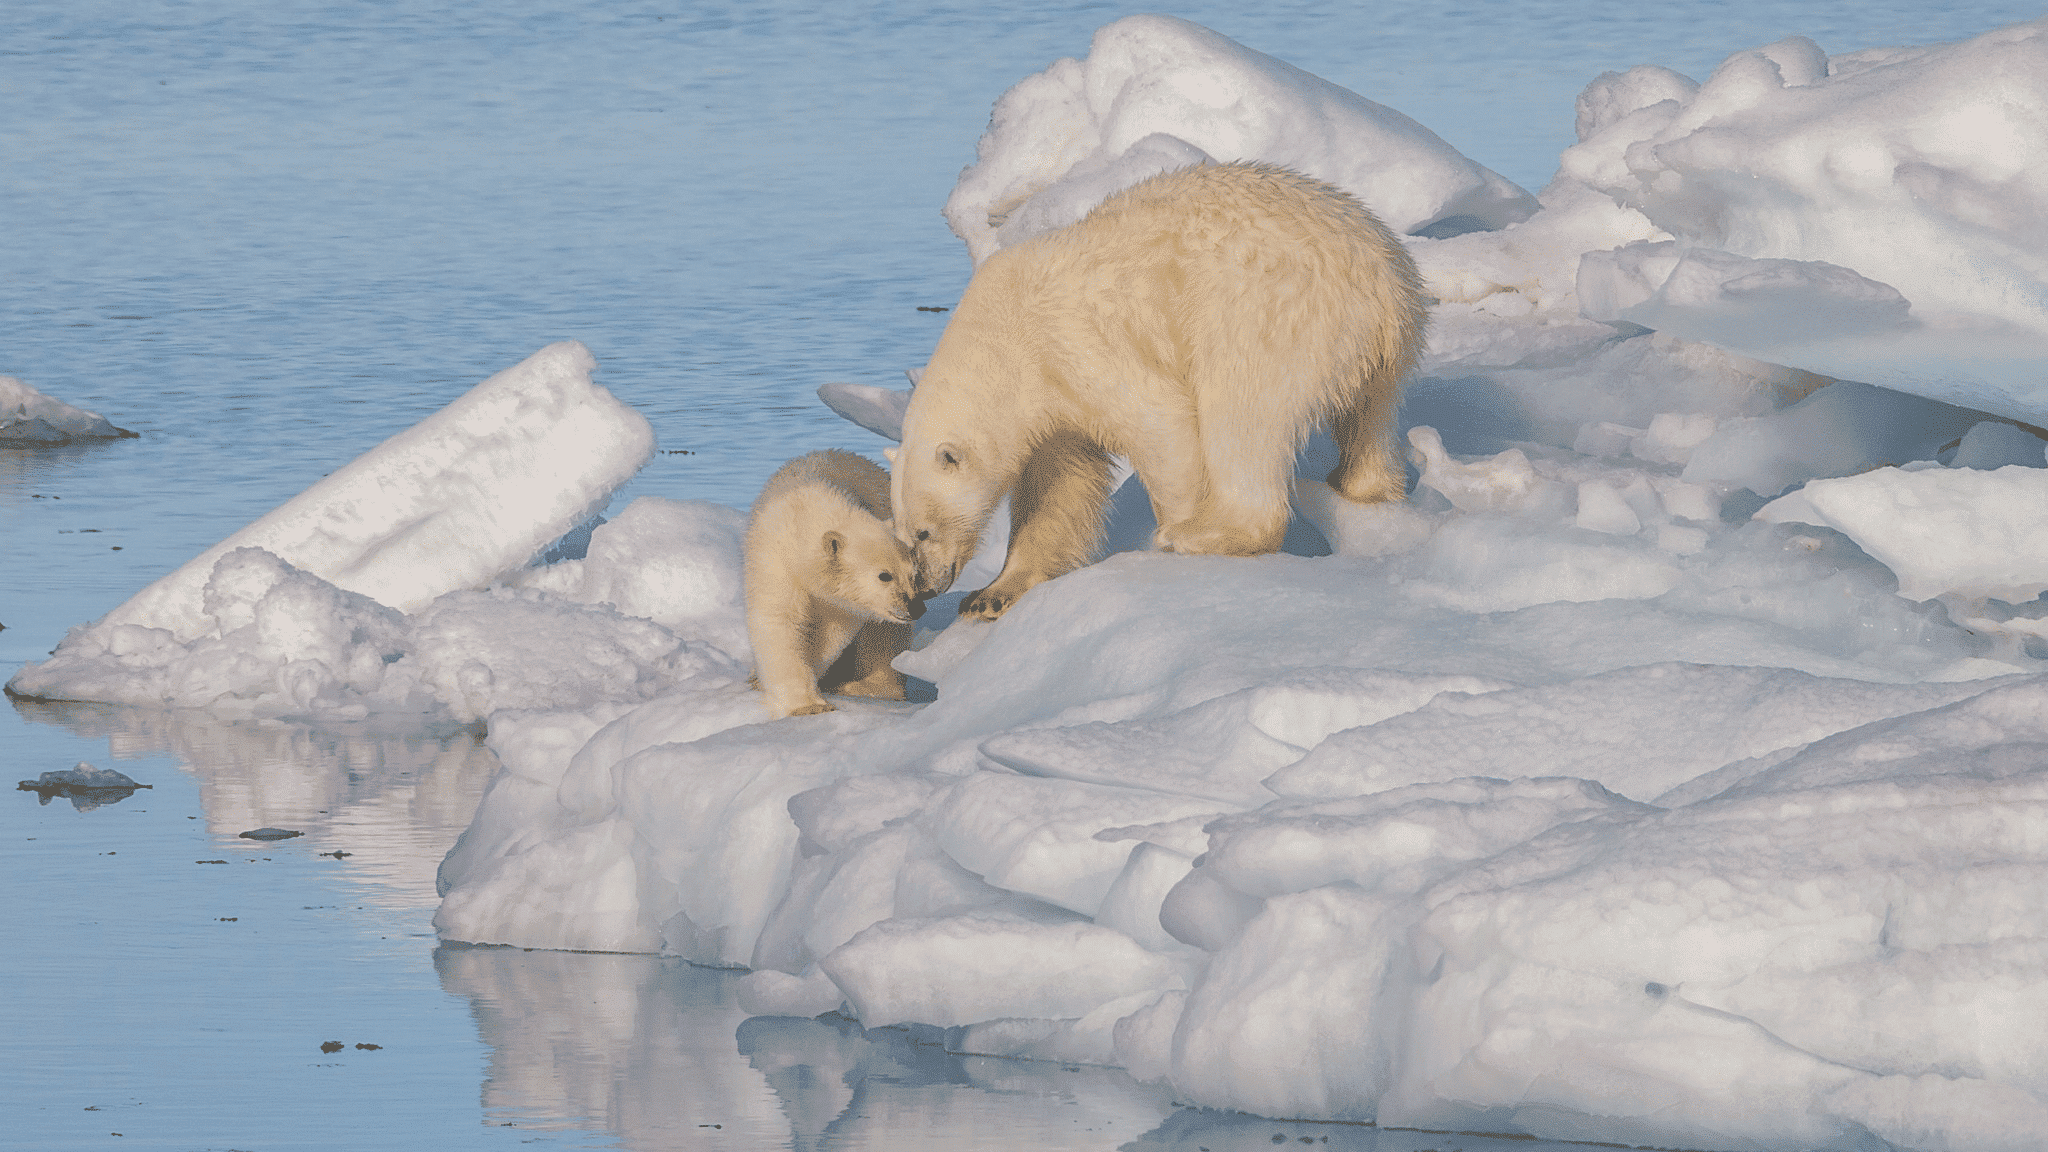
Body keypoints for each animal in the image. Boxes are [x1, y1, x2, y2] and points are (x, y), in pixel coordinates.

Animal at [745, 449, 923, 719]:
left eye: (913, 573)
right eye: (884, 575)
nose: (915, 607)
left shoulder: (841, 602)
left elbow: (829, 633)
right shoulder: (775, 559)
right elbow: (780, 620)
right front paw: (807, 705)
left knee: (884, 638)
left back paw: (864, 687)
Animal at [887, 161, 1428, 619]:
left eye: (923, 531)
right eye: (901, 532)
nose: (927, 588)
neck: (1005, 341)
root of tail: (1385, 284)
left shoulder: (1077, 345)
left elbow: (1161, 422)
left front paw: (1175, 525)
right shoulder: (1053, 403)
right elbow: (1057, 488)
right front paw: (991, 594)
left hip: (1270, 316)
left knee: (1242, 416)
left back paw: (1205, 535)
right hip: (1381, 351)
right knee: (1371, 419)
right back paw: (1362, 486)